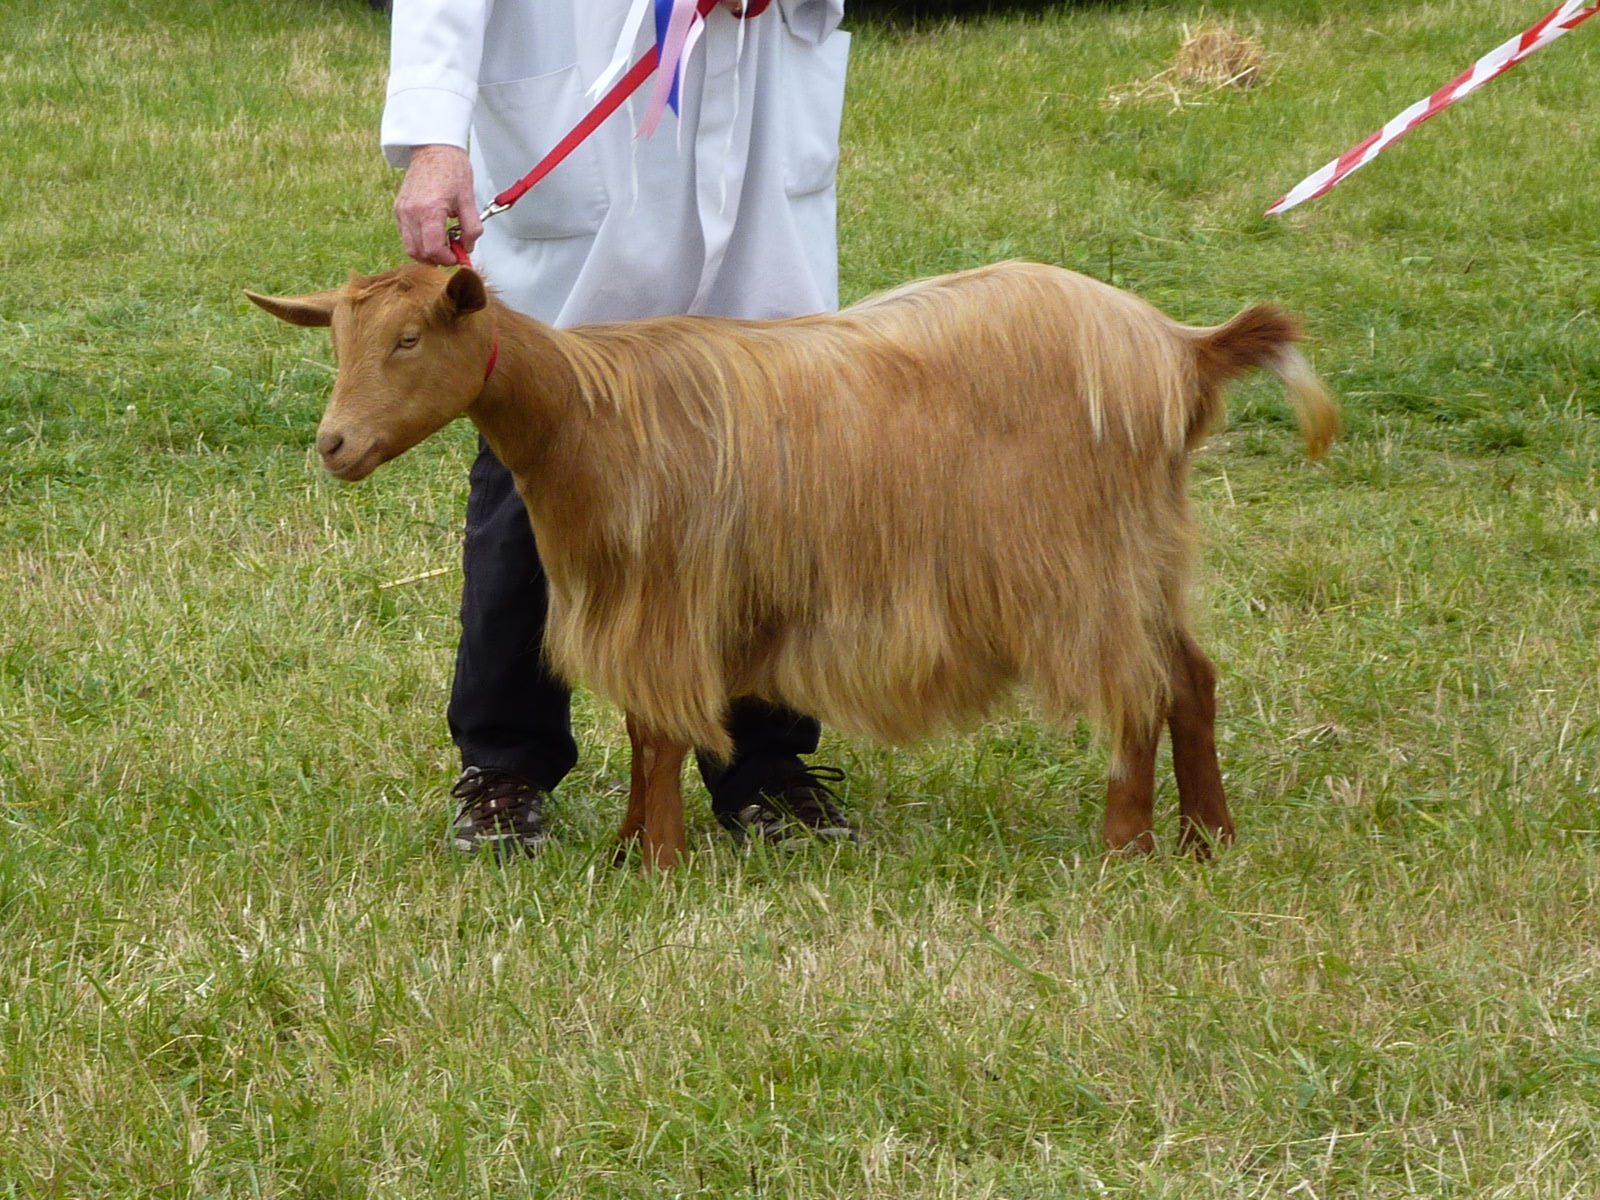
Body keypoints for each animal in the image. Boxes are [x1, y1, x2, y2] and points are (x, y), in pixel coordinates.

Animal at [247, 260, 1337, 870]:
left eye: (409, 338)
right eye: (337, 342)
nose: (335, 445)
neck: (593, 417)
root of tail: (1179, 349)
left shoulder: (670, 595)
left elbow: (660, 734)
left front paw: (657, 863)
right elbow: (645, 730)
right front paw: (628, 850)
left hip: (1080, 556)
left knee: (1137, 688)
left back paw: (1126, 845)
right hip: (1146, 548)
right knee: (1192, 676)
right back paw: (1209, 838)